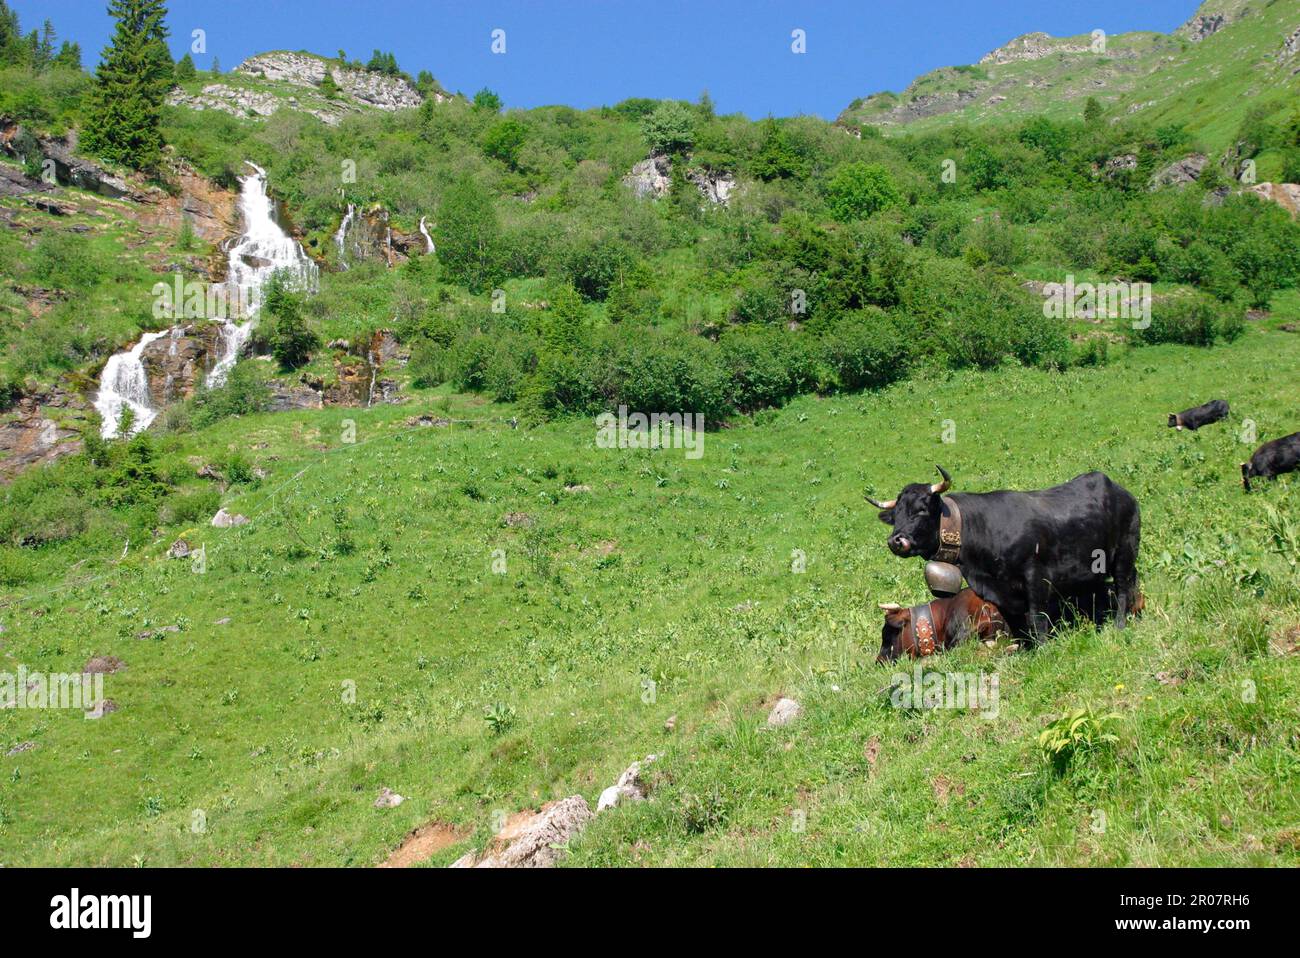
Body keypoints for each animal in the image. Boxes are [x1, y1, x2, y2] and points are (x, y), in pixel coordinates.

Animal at [866, 466, 1140, 640]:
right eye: (895, 517)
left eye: (922, 509)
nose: (896, 541)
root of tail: (1119, 490)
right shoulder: (998, 593)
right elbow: (1018, 624)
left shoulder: (1035, 577)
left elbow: (1037, 619)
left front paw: (1043, 649)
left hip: (1125, 552)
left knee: (1123, 587)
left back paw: (1120, 624)